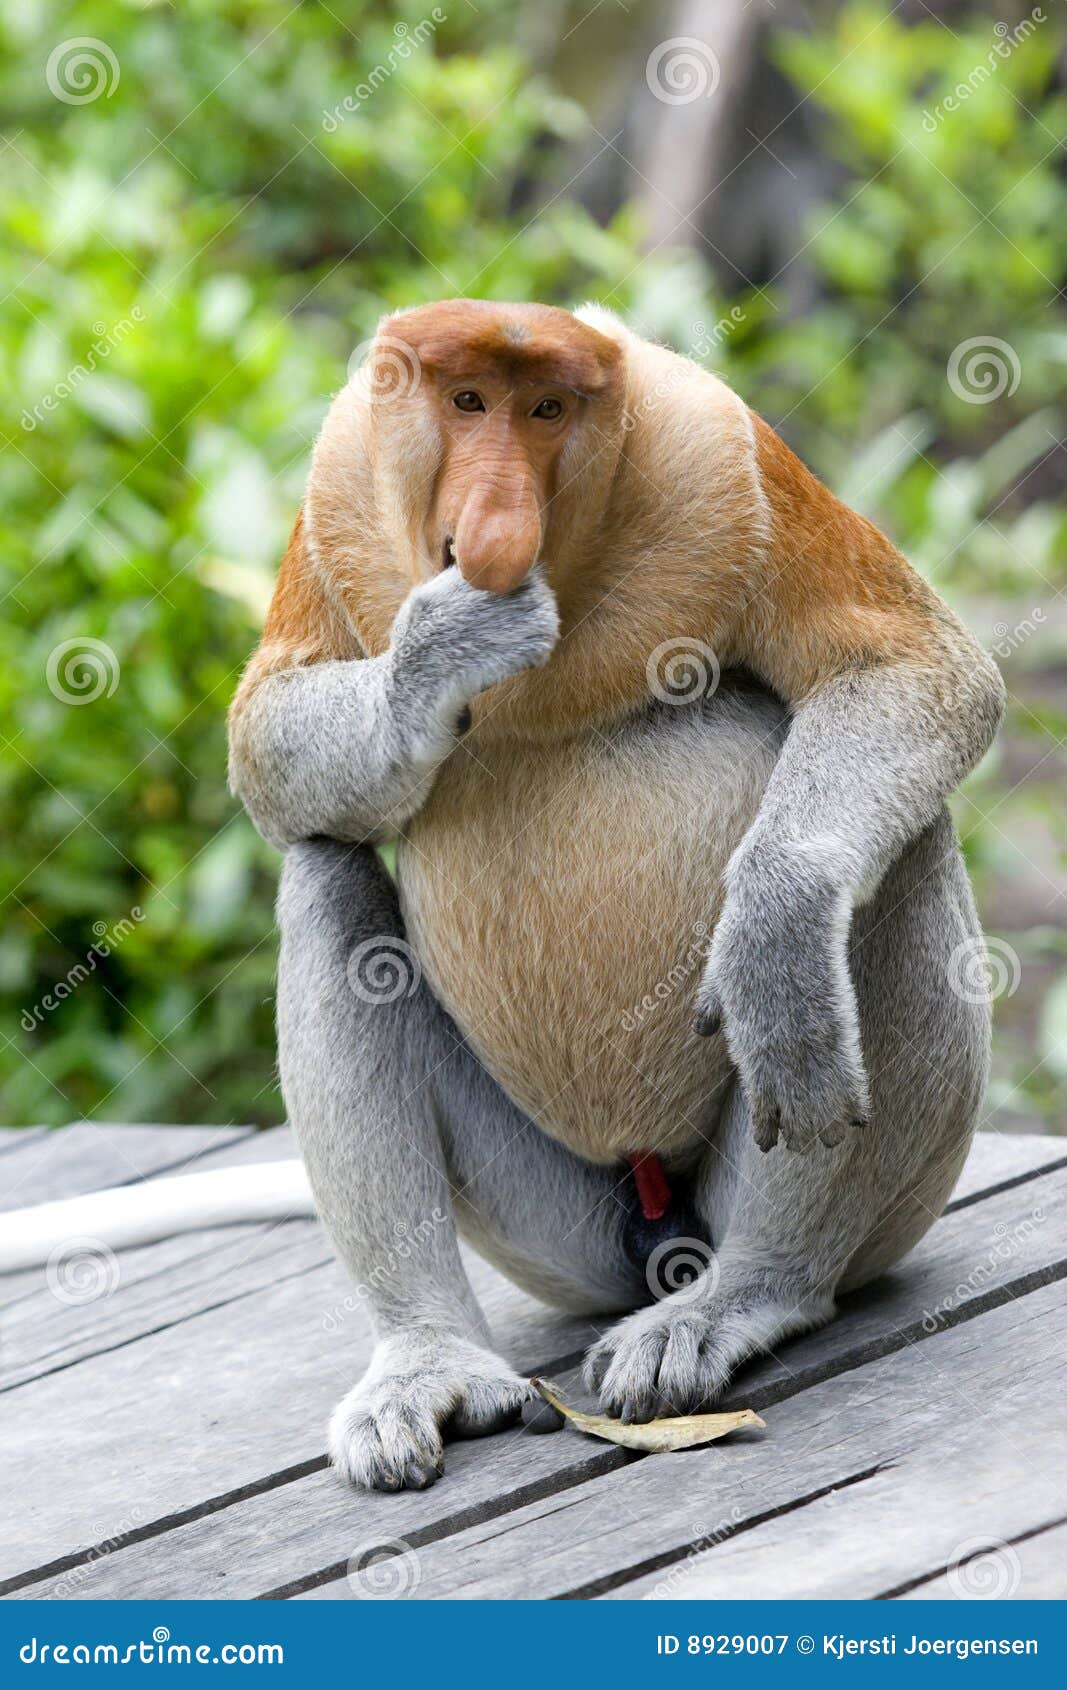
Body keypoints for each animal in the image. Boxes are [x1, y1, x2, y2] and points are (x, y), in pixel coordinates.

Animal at [227, 299, 1003, 1491]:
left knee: (894, 854)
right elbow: (268, 732)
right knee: (323, 867)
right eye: (467, 401)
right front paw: (439, 653)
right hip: (555, 1230)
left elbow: (911, 666)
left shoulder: (723, 455)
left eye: (547, 410)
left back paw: (740, 1297)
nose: (497, 524)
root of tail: (657, 1226)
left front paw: (775, 931)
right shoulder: (338, 487)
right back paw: (427, 1363)